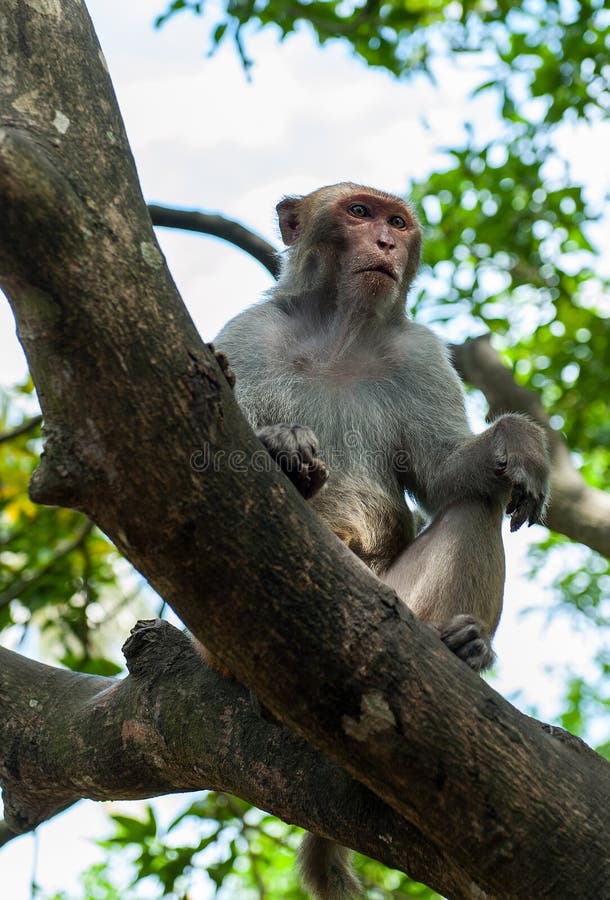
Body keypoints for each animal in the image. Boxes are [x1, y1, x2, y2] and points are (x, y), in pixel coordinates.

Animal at [213, 183, 551, 899]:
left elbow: (446, 473)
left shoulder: (420, 353)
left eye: (398, 220)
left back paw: (459, 651)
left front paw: (519, 440)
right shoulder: (249, 334)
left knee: (473, 504)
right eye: (359, 213)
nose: (388, 242)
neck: (342, 332)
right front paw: (280, 444)